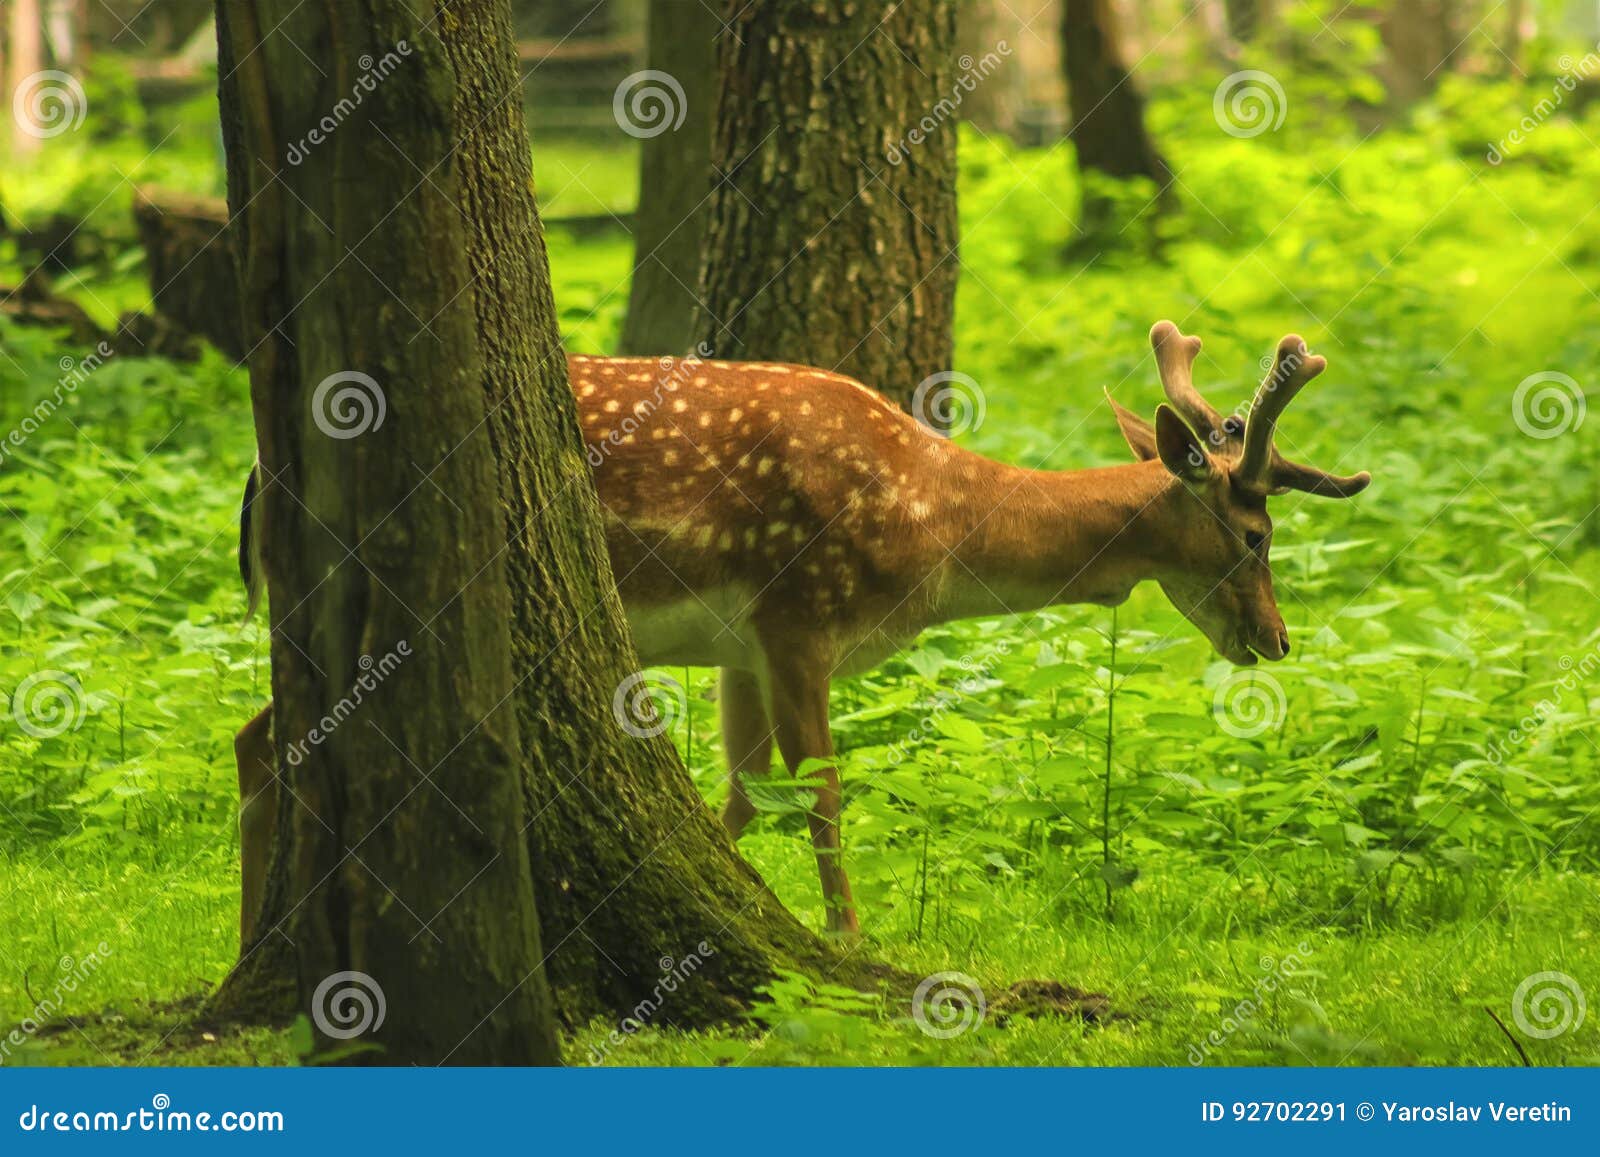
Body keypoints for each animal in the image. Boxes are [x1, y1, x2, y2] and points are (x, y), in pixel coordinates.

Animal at [233, 320, 1369, 942]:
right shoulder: (799, 612)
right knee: (270, 737)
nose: (1276, 642)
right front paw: (853, 938)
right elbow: (819, 792)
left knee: (257, 736)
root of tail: (255, 474)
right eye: (1257, 533)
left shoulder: (738, 647)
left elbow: (737, 795)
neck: (935, 524)